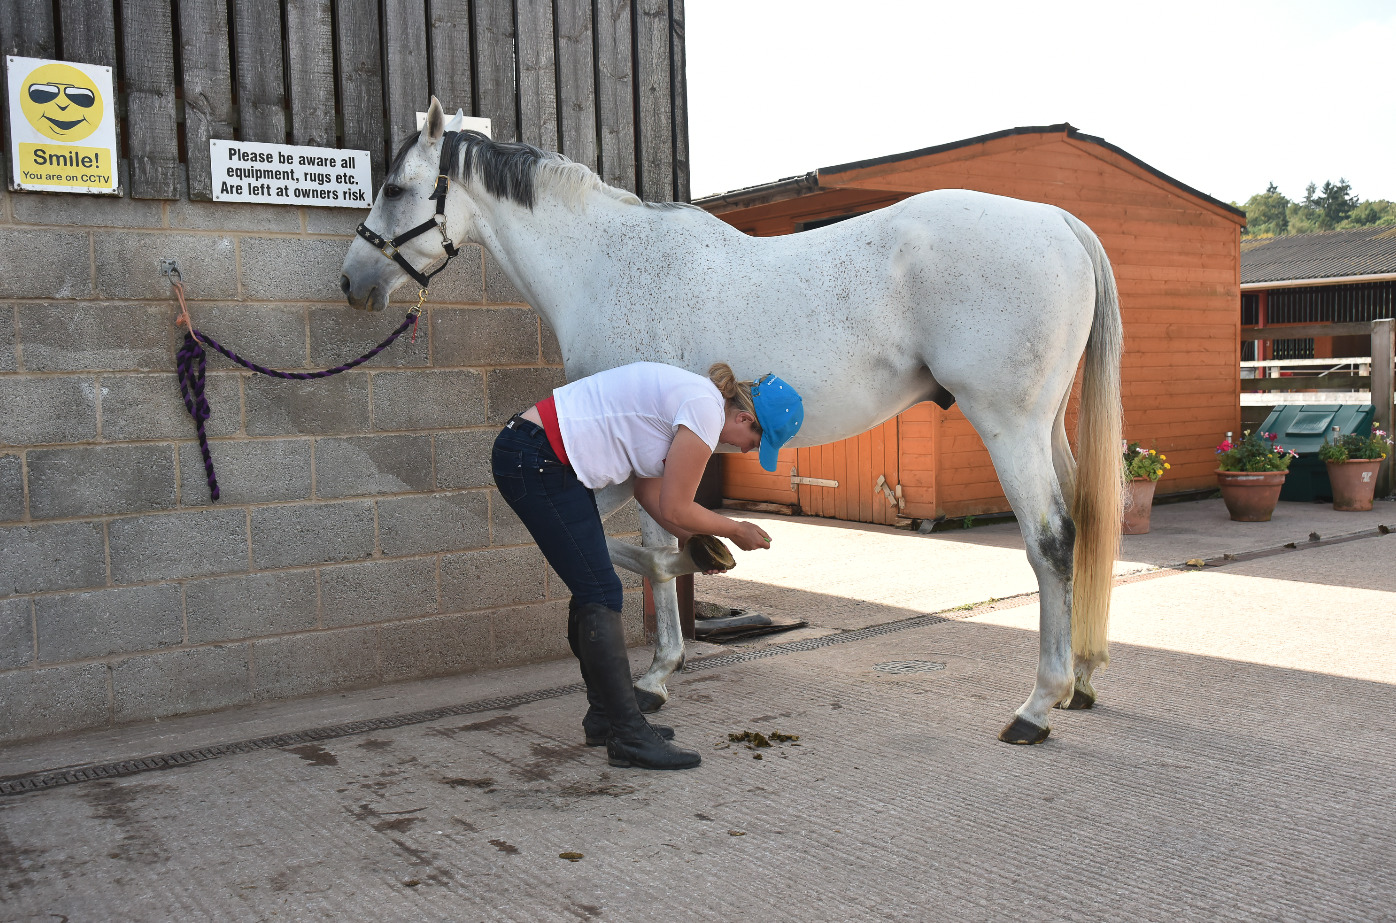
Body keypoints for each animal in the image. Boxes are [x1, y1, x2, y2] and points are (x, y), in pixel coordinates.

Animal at [340, 98, 1124, 745]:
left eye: (395, 188)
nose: (353, 283)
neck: (604, 263)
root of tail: (1056, 221)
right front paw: (691, 590)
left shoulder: (647, 448)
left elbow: (651, 550)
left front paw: (660, 668)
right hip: (1047, 426)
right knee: (1086, 529)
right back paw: (1081, 682)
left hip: (1009, 426)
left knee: (1052, 541)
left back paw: (1036, 707)